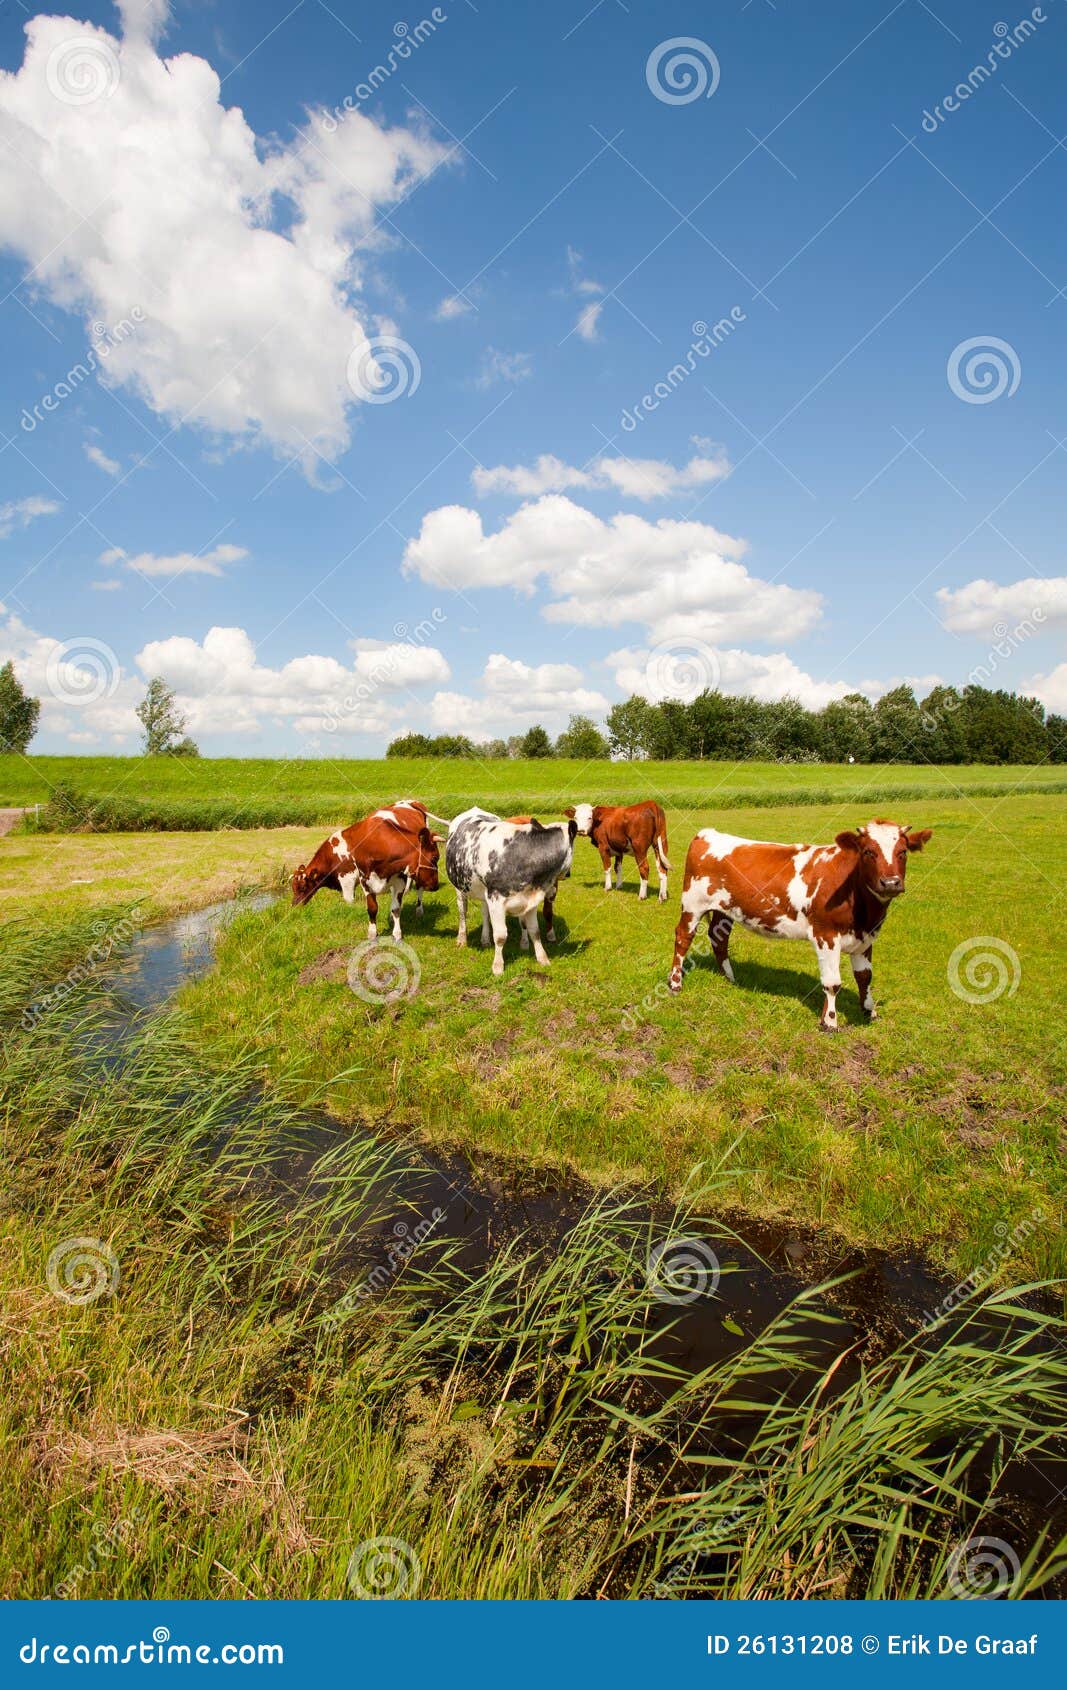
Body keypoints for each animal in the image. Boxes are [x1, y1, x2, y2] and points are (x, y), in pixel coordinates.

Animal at [291, 798, 441, 941]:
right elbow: (372, 908)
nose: (294, 906)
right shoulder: (365, 880)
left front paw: (397, 934)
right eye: (294, 888)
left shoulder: (397, 879)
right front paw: (373, 933)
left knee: (419, 888)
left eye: (302, 887)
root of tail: (411, 801)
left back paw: (419, 910)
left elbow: (395, 908)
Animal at [445, 807, 578, 976]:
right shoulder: (496, 898)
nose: (568, 874)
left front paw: (543, 959)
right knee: (463, 912)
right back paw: (462, 939)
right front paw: (498, 966)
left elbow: (534, 931)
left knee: (484, 913)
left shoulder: (531, 898)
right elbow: (500, 935)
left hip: (484, 892)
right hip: (460, 886)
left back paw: (485, 939)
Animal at [668, 819, 933, 1031]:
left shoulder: (865, 938)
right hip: (692, 904)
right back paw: (675, 983)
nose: (890, 883)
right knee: (683, 938)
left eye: (903, 852)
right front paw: (830, 1022)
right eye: (868, 852)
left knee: (719, 938)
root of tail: (707, 834)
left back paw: (730, 978)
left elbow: (865, 977)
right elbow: (832, 982)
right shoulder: (826, 935)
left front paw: (869, 1012)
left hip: (725, 911)